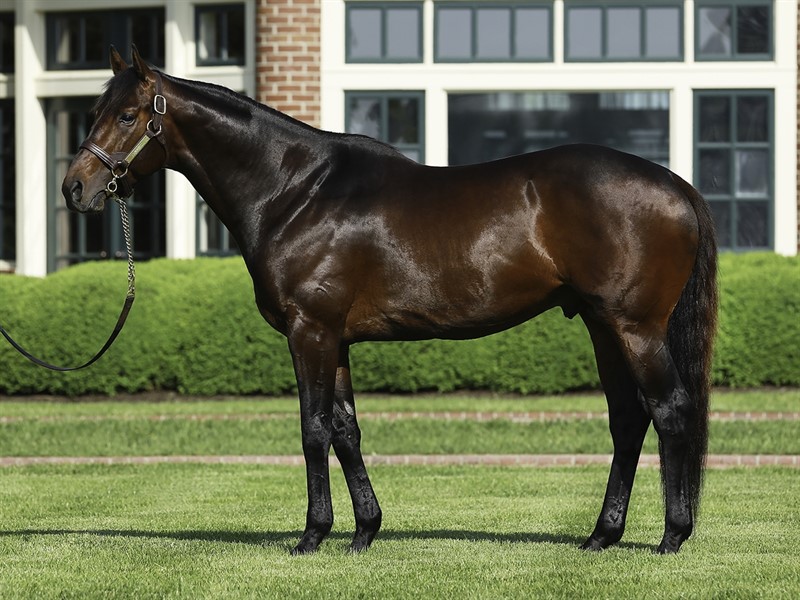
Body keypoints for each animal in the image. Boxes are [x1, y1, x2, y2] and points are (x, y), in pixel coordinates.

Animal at [62, 46, 718, 556]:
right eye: (93, 112)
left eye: (127, 114)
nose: (75, 188)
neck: (295, 191)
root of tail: (676, 185)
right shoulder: (336, 339)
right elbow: (346, 429)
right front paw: (363, 532)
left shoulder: (310, 332)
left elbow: (313, 429)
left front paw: (311, 536)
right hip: (602, 326)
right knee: (629, 419)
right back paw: (602, 536)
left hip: (635, 327)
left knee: (670, 410)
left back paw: (671, 537)